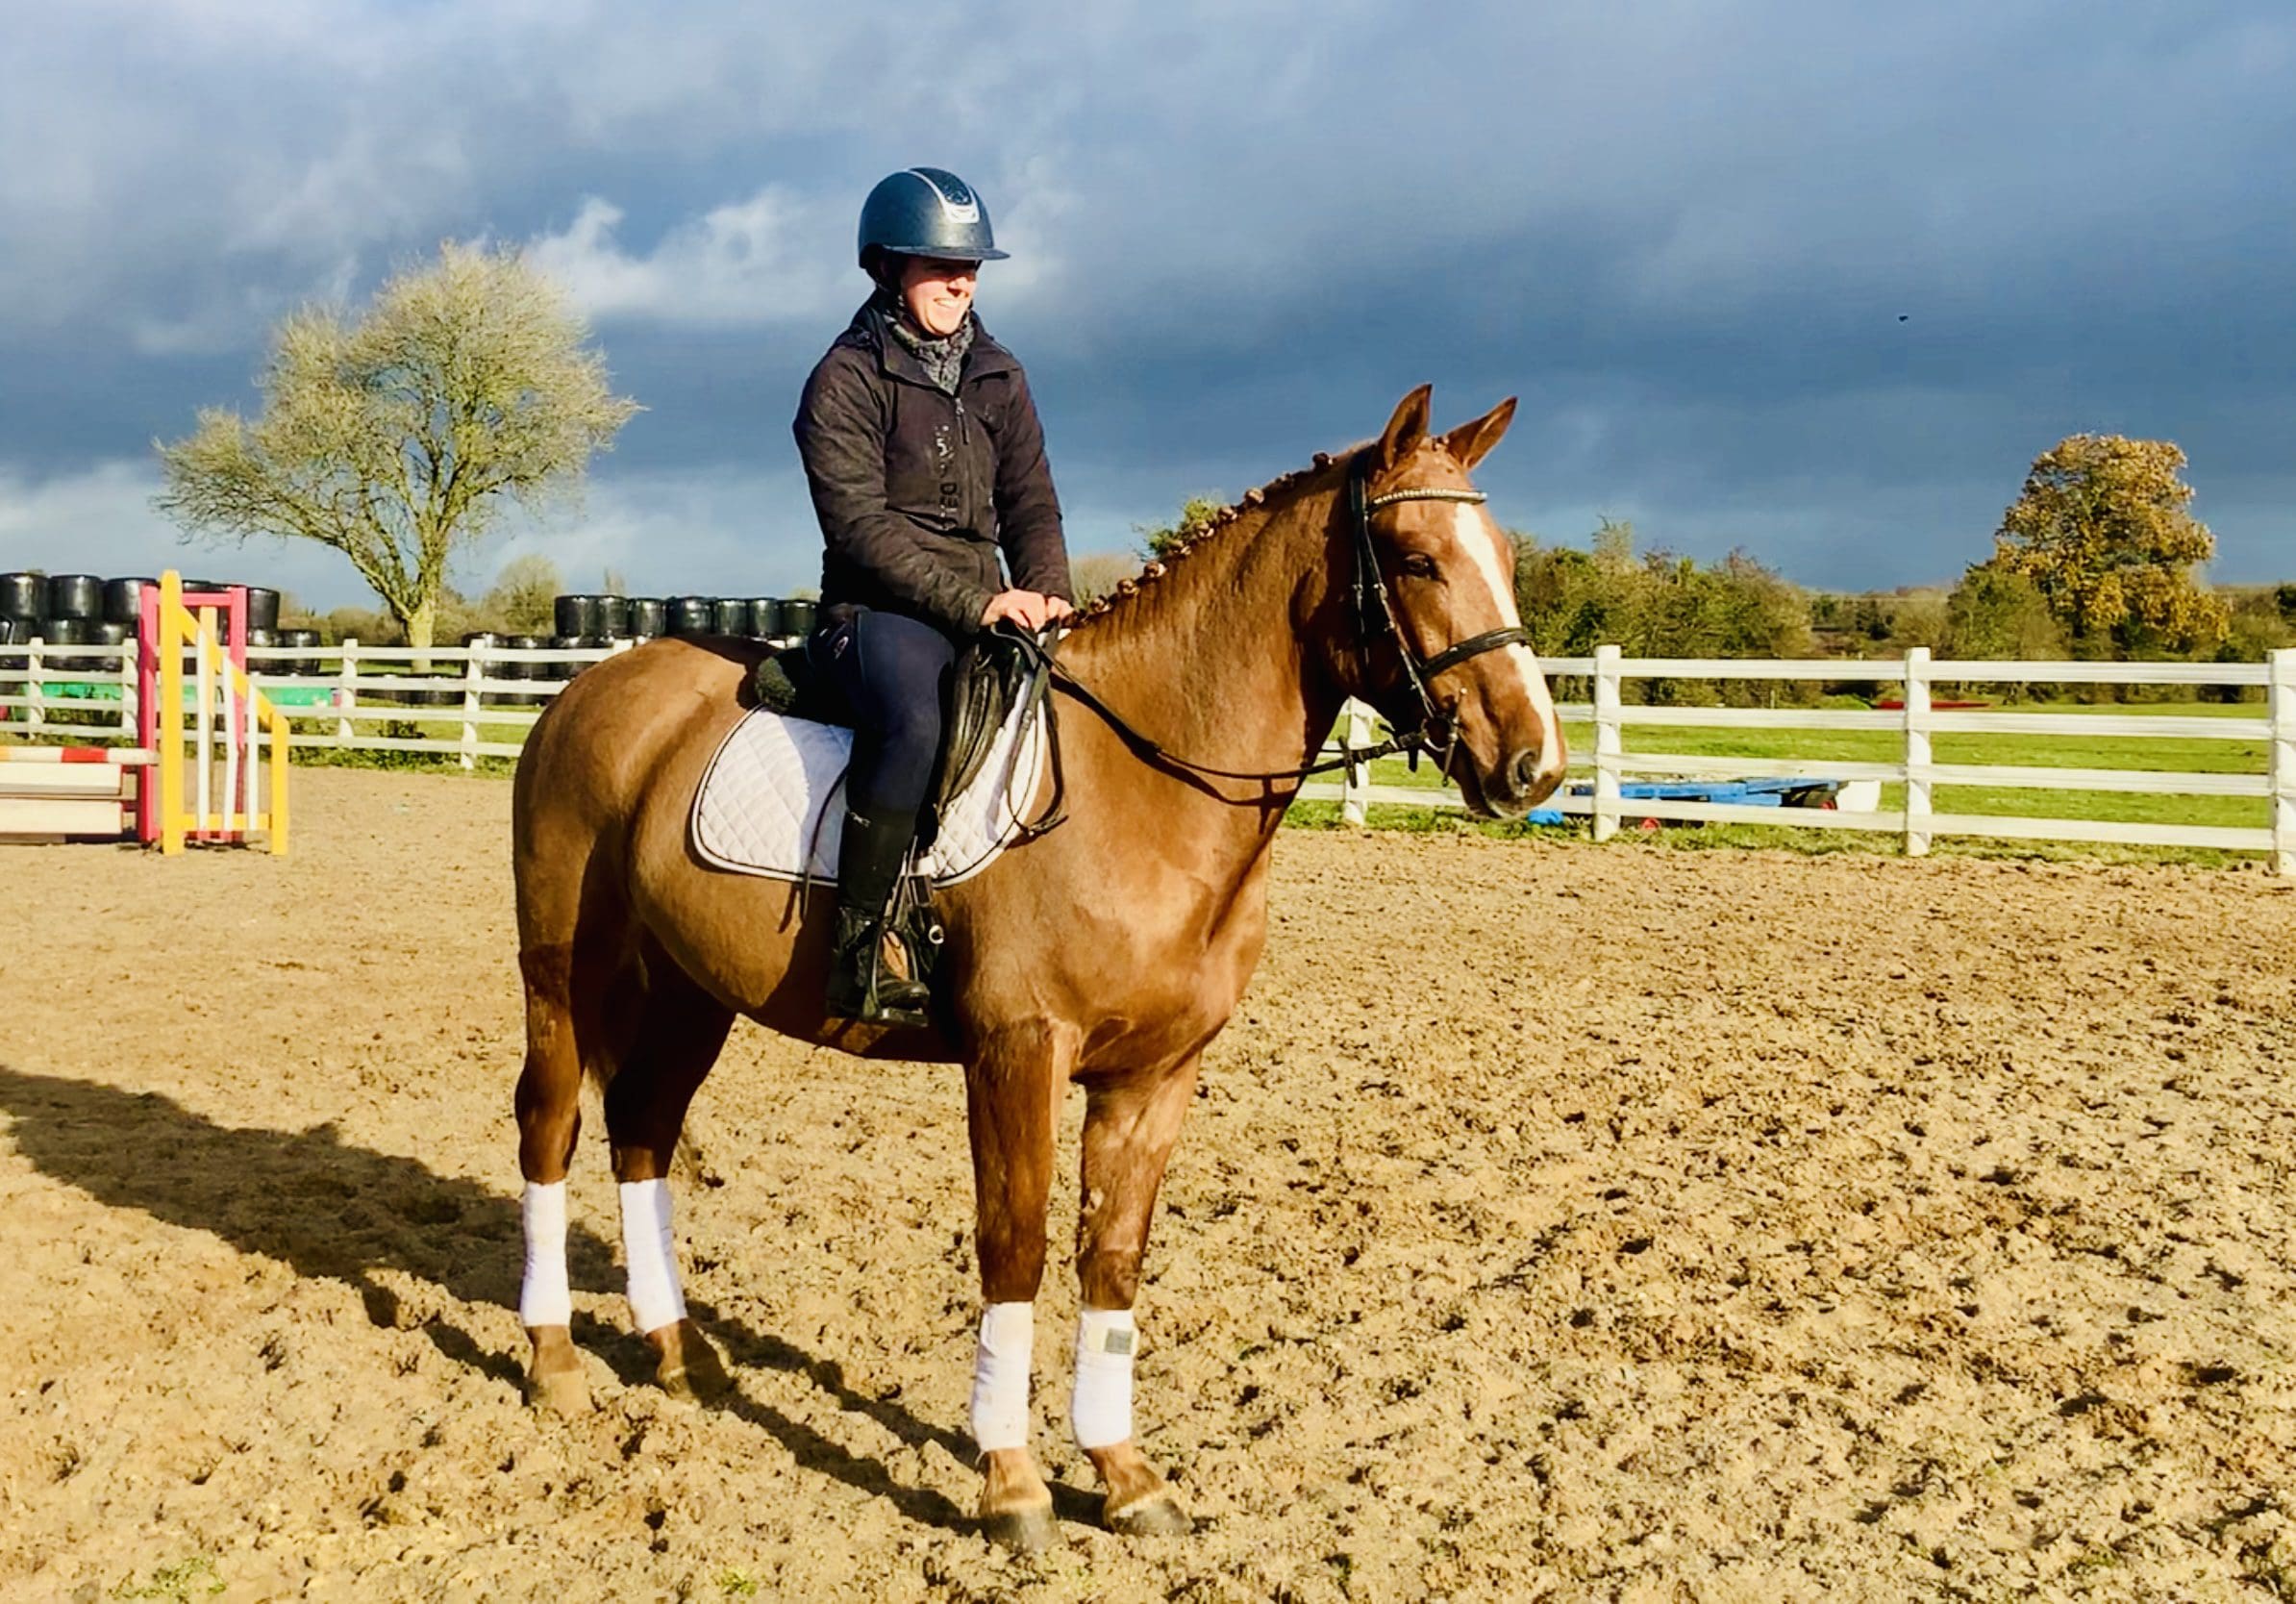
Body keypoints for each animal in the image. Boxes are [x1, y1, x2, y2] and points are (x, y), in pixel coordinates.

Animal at [508, 384, 1567, 1549]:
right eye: (1417, 560)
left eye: (1503, 556)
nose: (1535, 765)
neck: (1147, 785)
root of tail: (593, 686)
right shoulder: (1017, 1054)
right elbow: (1013, 1243)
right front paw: (1012, 1482)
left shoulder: (1158, 1074)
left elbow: (1113, 1257)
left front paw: (1125, 1474)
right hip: (565, 973)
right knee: (551, 1127)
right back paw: (554, 1360)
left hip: (690, 993)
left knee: (642, 1132)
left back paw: (677, 1352)